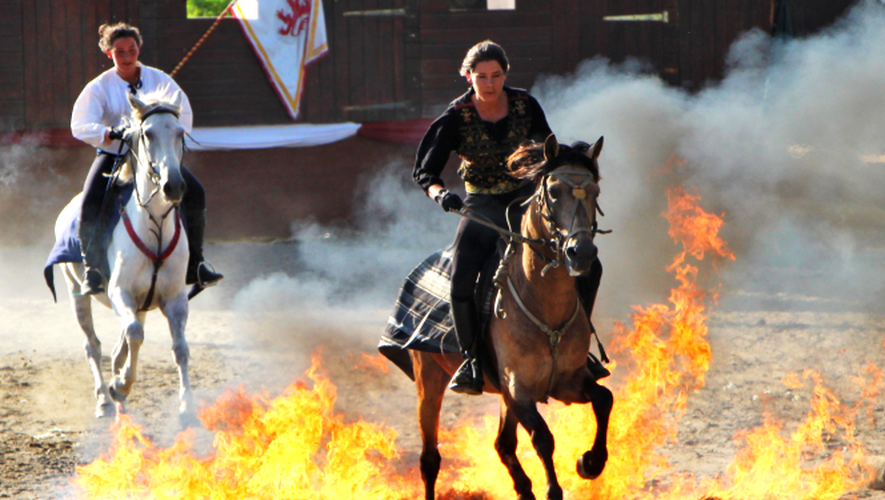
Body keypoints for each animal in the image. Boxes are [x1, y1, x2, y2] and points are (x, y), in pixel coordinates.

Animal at [55, 92, 195, 424]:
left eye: (180, 133)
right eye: (148, 134)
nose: (173, 185)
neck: (155, 226)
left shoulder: (175, 299)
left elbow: (180, 348)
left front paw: (187, 407)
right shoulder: (121, 293)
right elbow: (134, 334)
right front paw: (120, 384)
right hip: (75, 291)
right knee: (93, 345)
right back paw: (105, 400)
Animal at [410, 134, 612, 500]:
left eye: (595, 192)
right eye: (553, 191)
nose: (581, 252)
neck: (545, 309)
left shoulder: (567, 381)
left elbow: (604, 399)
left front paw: (589, 463)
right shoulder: (519, 389)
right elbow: (543, 437)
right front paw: (555, 488)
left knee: (502, 444)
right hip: (428, 379)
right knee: (430, 458)